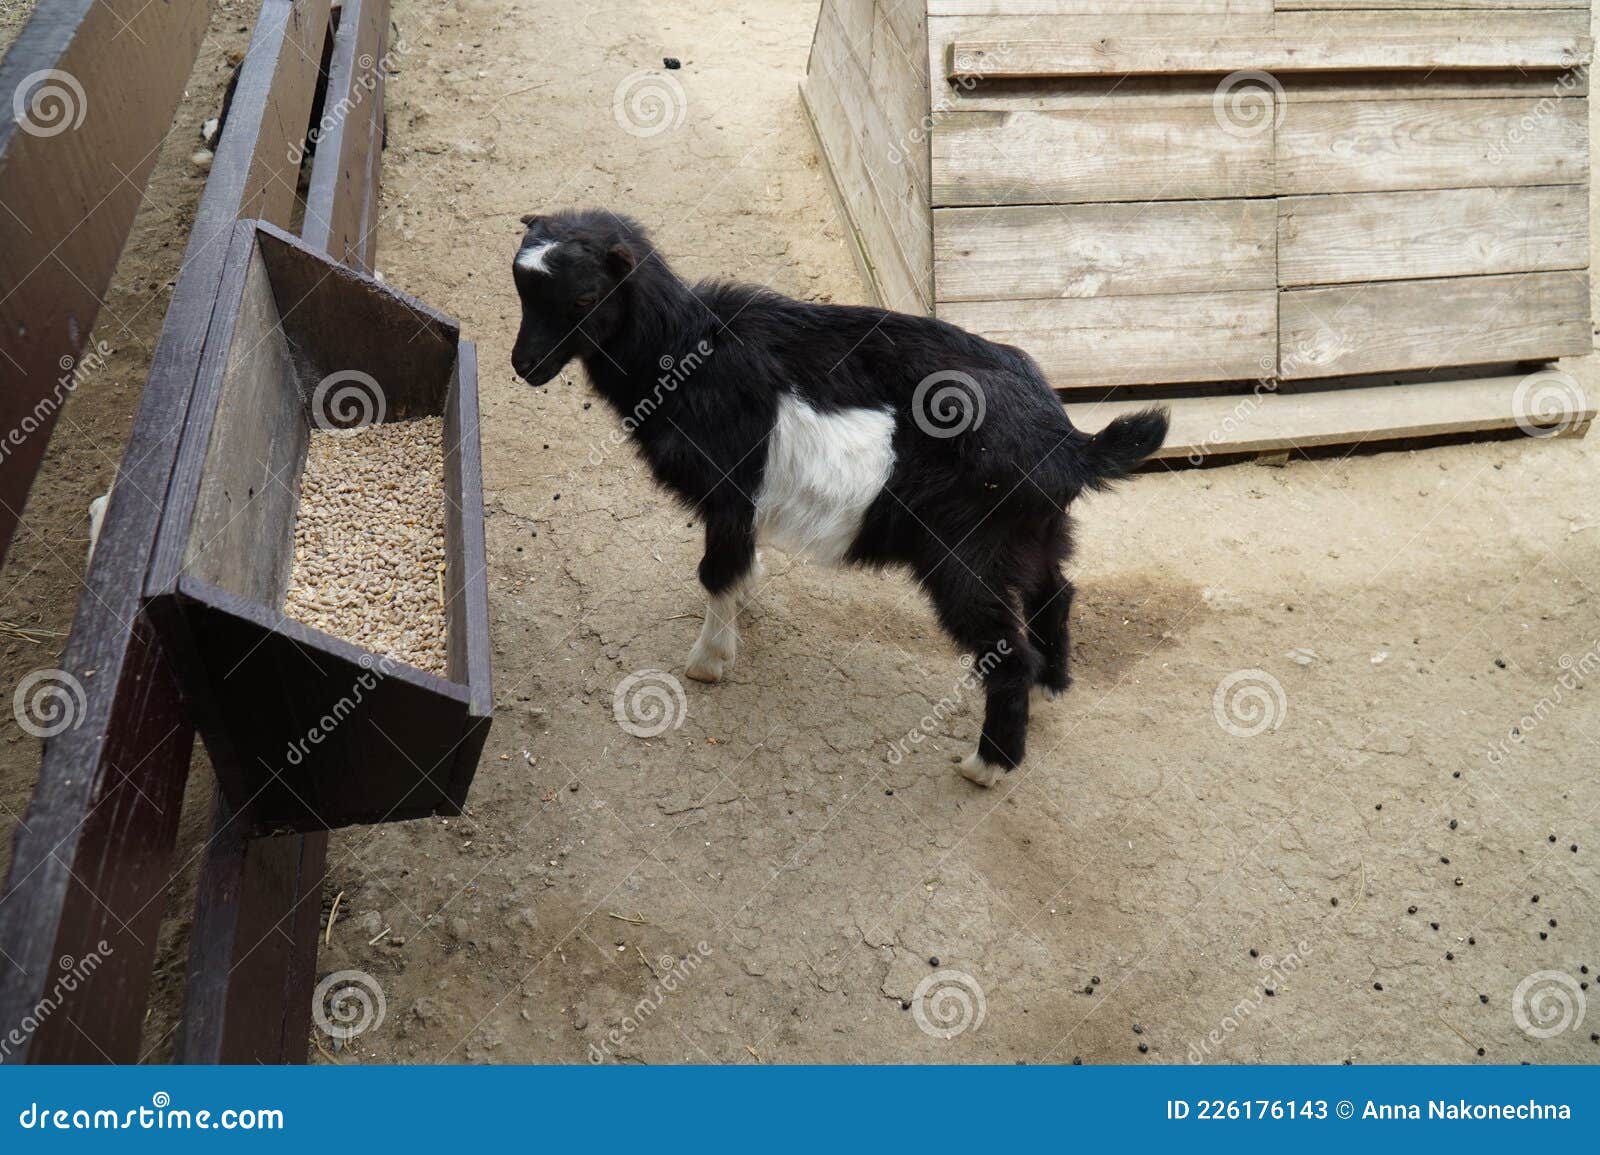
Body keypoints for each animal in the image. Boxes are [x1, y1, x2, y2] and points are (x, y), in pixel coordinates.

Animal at [511, 209, 1167, 786]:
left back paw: (986, 766)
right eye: (522, 290)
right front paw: (744, 604)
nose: (524, 365)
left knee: (1006, 652)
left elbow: (715, 571)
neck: (690, 351)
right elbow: (737, 564)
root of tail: (1069, 442)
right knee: (1056, 592)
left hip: (965, 555)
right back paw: (1050, 688)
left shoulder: (730, 491)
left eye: (583, 301)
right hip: (1035, 533)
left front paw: (708, 662)